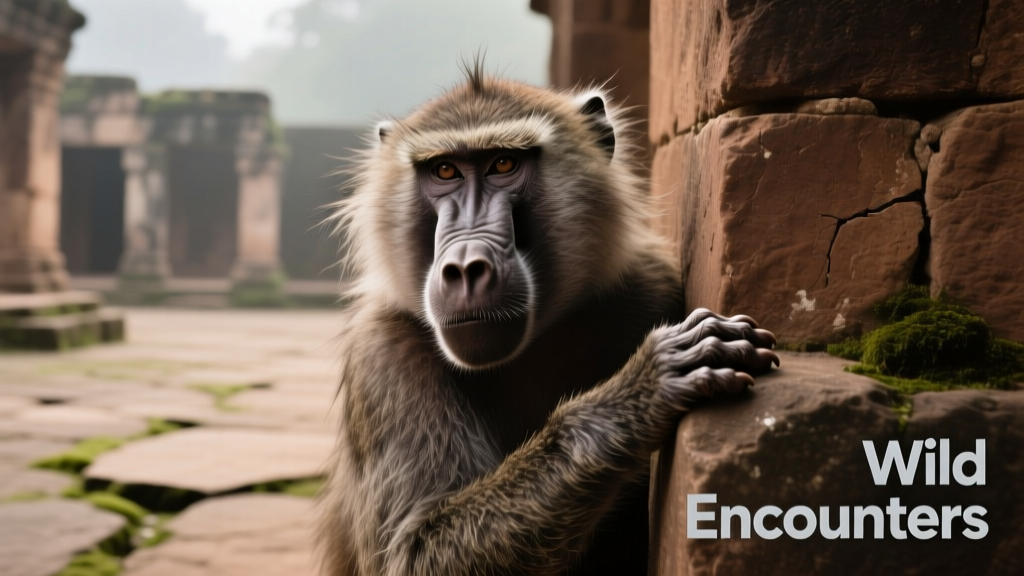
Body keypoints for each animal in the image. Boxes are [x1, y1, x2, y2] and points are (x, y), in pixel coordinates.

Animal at [318, 65, 778, 576]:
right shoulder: (383, 352)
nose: (465, 267)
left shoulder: (652, 288)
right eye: (444, 171)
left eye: (503, 164)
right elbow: (415, 552)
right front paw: (644, 386)